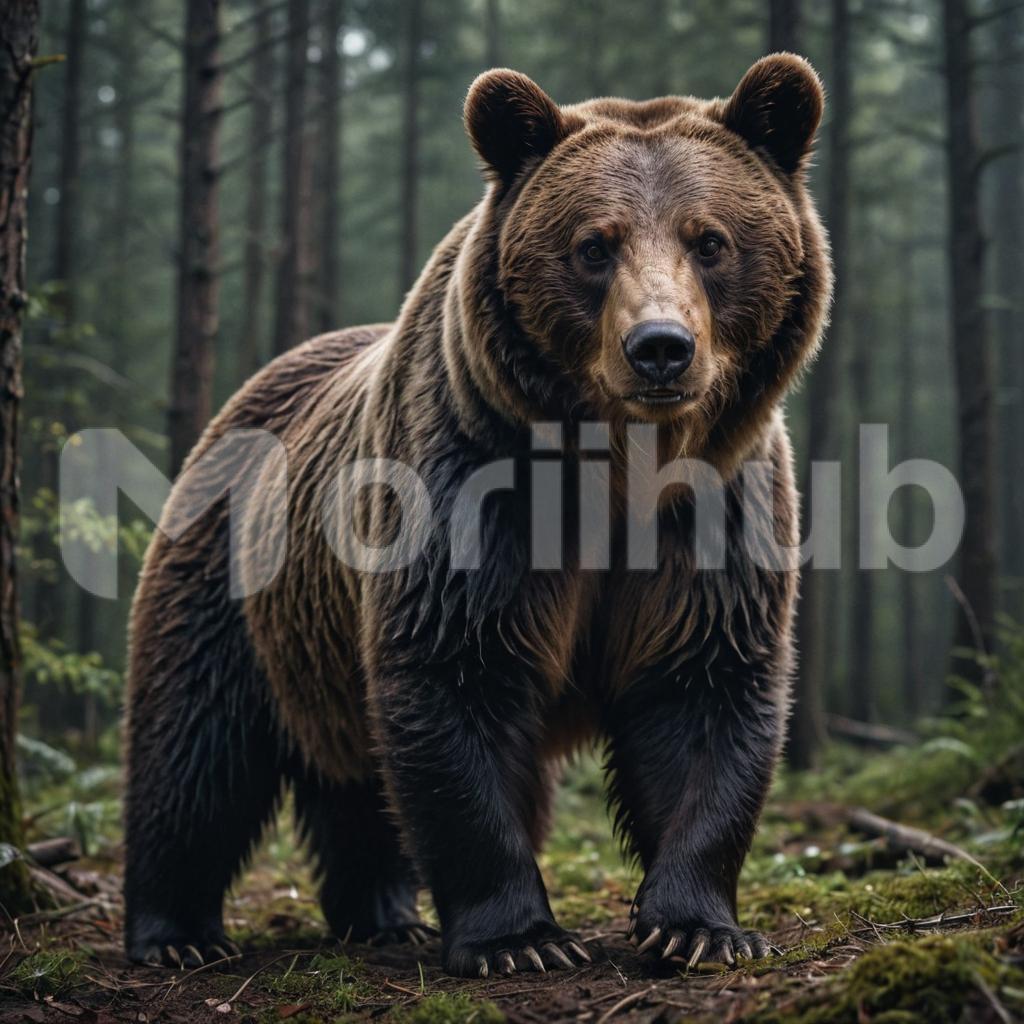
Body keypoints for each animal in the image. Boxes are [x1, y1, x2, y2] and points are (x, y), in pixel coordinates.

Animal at [123, 53, 831, 978]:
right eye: (594, 245)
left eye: (709, 240)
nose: (661, 348)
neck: (614, 471)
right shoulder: (473, 492)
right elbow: (456, 678)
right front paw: (519, 939)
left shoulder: (711, 515)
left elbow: (704, 691)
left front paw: (697, 925)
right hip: (233, 577)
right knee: (195, 749)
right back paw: (174, 932)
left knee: (354, 781)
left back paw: (382, 914)